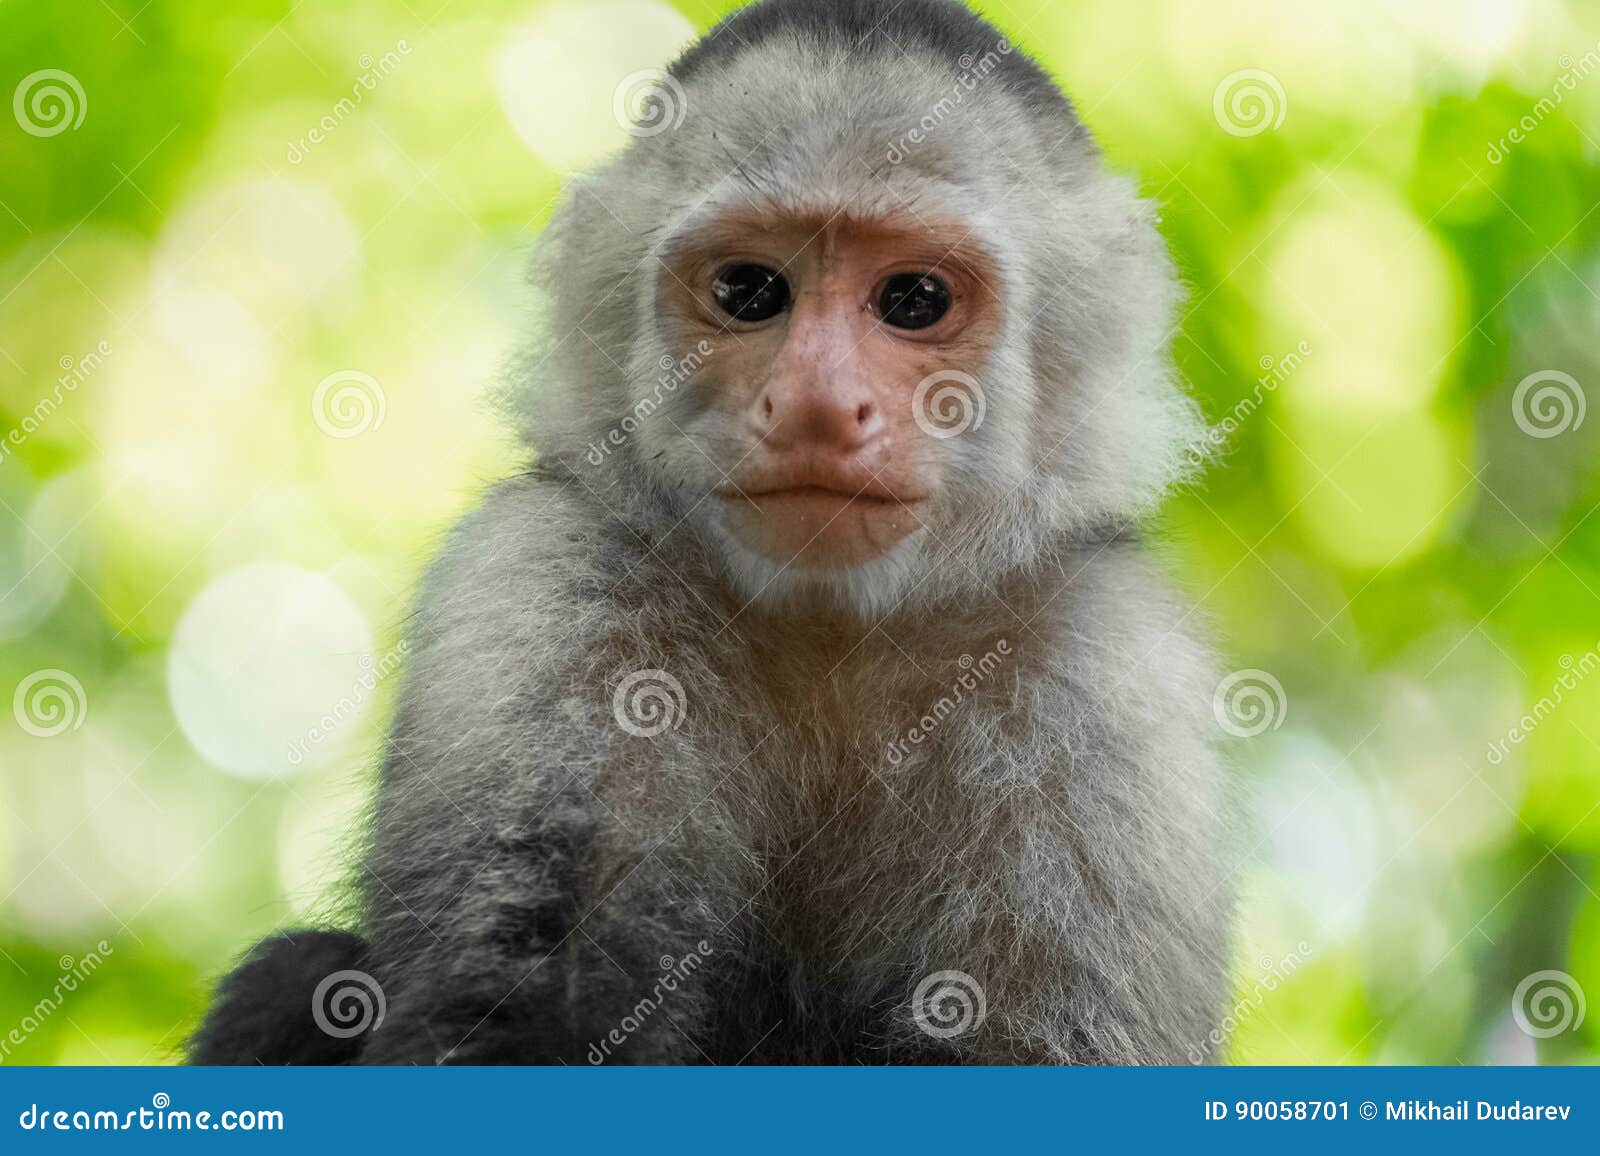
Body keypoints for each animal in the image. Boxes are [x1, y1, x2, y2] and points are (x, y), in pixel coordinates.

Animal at [190, 0, 1232, 1066]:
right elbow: (515, 1015)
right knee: (304, 976)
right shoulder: (541, 575)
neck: (829, 633)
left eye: (915, 300)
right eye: (749, 292)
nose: (818, 405)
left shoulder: (1107, 667)